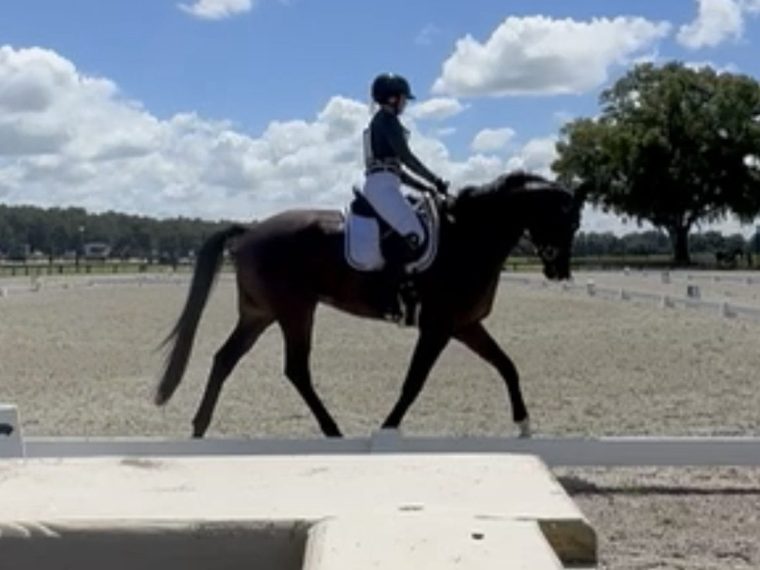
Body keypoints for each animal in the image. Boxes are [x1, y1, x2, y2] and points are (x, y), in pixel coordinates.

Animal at [155, 171, 583, 438]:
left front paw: (525, 425)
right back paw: (334, 432)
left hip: (261, 314)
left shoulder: (465, 325)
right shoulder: (439, 327)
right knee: (296, 370)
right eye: (563, 220)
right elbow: (414, 383)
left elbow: (507, 366)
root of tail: (250, 231)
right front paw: (387, 429)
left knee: (225, 359)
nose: (559, 271)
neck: (468, 237)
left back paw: (199, 429)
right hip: (295, 311)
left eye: (576, 224)